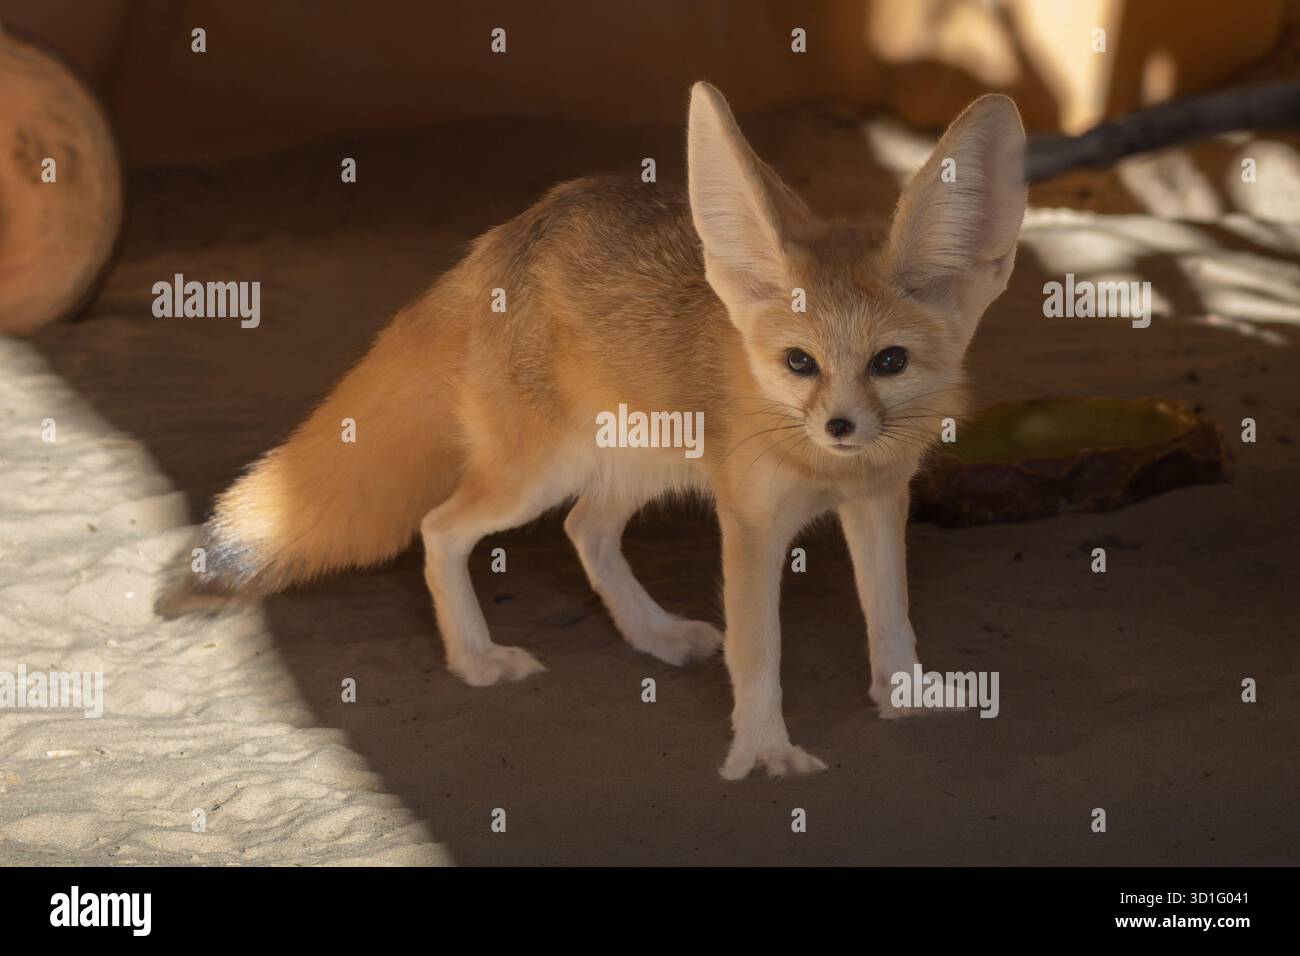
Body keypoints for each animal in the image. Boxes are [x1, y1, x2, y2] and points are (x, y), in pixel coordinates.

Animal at [164, 82, 1027, 780]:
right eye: (799, 362)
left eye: (889, 361)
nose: (842, 425)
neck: (829, 470)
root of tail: (503, 238)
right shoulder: (750, 525)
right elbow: (759, 652)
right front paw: (764, 752)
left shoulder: (879, 499)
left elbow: (892, 618)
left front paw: (906, 698)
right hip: (534, 479)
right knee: (440, 528)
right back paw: (475, 659)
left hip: (644, 467)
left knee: (585, 529)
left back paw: (654, 635)